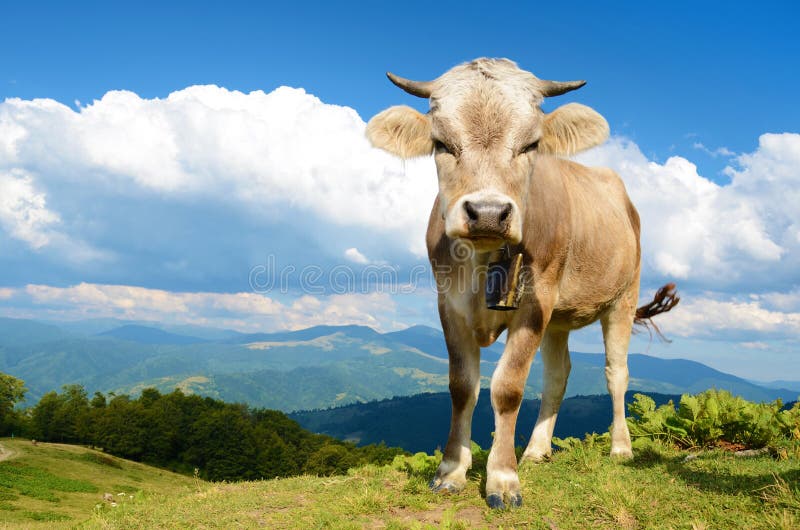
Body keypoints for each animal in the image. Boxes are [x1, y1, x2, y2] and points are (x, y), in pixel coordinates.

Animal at [366, 58, 678, 509]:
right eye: (442, 144)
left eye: (531, 145)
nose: (488, 212)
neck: (482, 261)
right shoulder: (448, 302)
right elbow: (462, 385)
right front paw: (451, 471)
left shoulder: (535, 301)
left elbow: (508, 386)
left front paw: (502, 478)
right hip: (559, 317)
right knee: (558, 374)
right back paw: (536, 449)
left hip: (623, 295)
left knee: (616, 372)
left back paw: (620, 447)